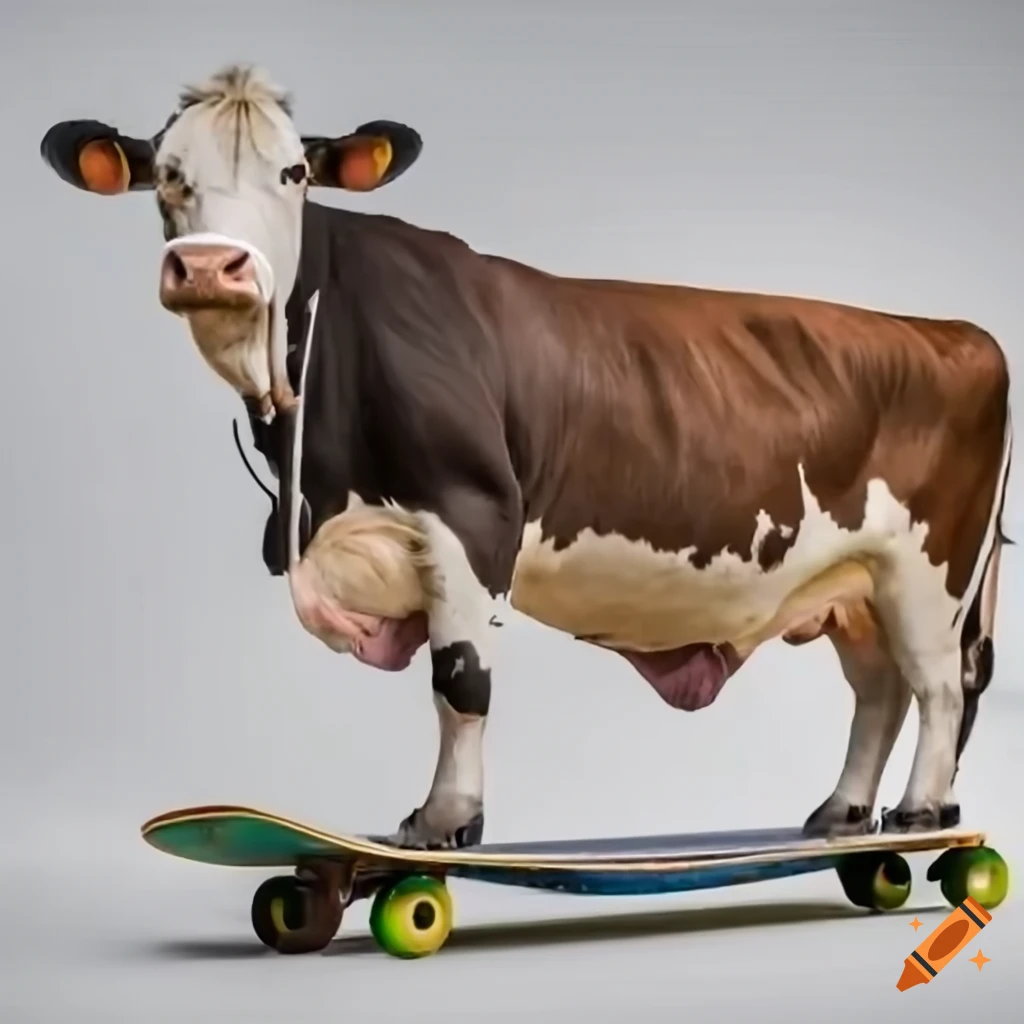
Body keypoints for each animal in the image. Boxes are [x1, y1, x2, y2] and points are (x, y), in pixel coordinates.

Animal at [39, 64, 1012, 850]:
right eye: (168, 177)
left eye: (295, 172)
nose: (211, 267)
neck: (312, 471)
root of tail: (953, 330)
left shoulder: (472, 512)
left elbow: (459, 680)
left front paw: (445, 820)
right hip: (854, 584)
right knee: (879, 687)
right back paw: (842, 813)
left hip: (931, 570)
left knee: (937, 685)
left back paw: (919, 814)